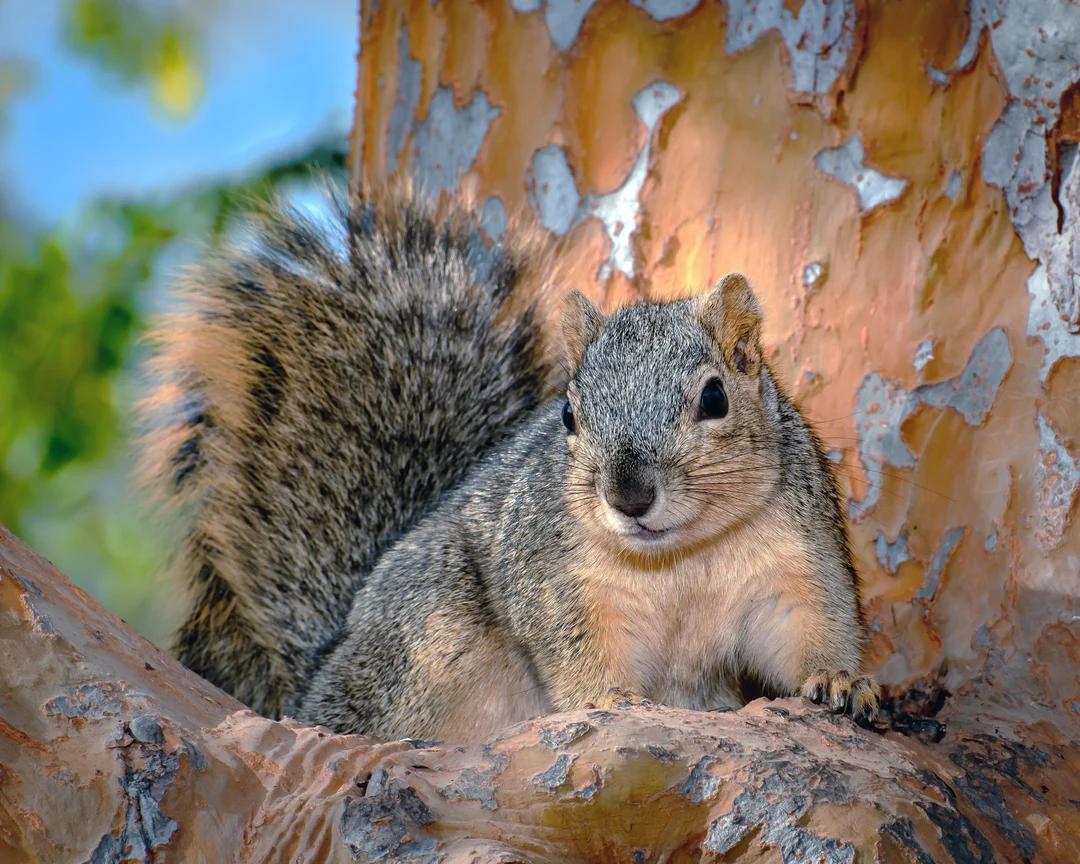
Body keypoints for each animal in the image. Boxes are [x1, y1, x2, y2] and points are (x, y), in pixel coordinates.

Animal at [140, 180, 880, 741]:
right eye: (569, 414)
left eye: (715, 397)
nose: (630, 497)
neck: (680, 558)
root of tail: (324, 667)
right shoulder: (554, 581)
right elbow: (573, 646)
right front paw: (606, 699)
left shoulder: (793, 558)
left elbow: (810, 626)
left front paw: (843, 681)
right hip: (427, 642)